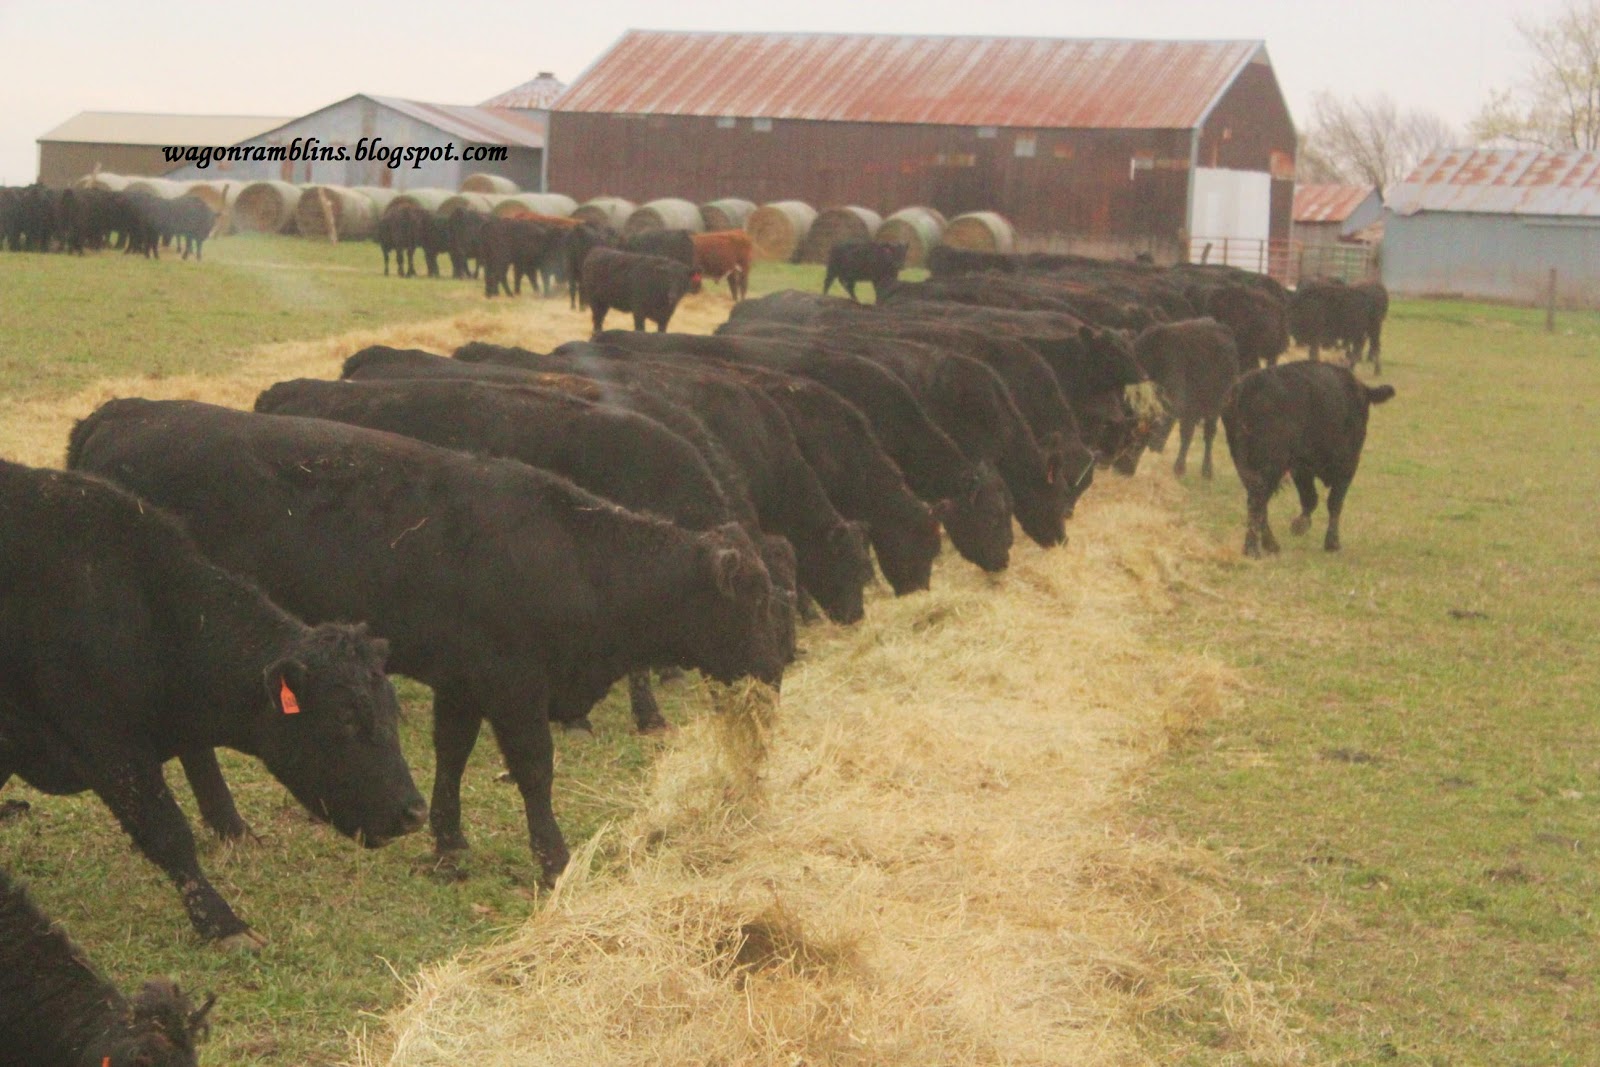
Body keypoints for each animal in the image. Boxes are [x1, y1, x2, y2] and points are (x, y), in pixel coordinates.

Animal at [1, 459, 426, 946]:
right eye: (346, 719)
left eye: (391, 710)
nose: (415, 812)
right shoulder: (110, 748)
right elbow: (167, 830)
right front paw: (223, 923)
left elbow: (207, 775)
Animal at [69, 399, 789, 885]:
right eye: (756, 603)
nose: (775, 674)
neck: (575, 557)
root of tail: (123, 412)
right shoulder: (513, 684)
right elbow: (534, 767)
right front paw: (553, 858)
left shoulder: (461, 680)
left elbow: (452, 753)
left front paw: (448, 840)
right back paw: (230, 823)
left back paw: (231, 827)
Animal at [1132, 317, 1244, 479]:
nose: (1153, 448)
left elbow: (1185, 435)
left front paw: (1179, 468)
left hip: (1214, 409)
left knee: (1208, 435)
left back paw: (1206, 471)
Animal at [1221, 361, 1396, 558]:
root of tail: (1244, 388)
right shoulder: (1346, 467)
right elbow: (1334, 502)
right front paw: (1331, 543)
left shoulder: (1302, 470)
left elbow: (1310, 498)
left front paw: (1299, 526)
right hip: (1272, 465)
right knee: (1258, 499)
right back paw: (1252, 549)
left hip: (1246, 464)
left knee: (1258, 500)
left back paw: (1271, 545)